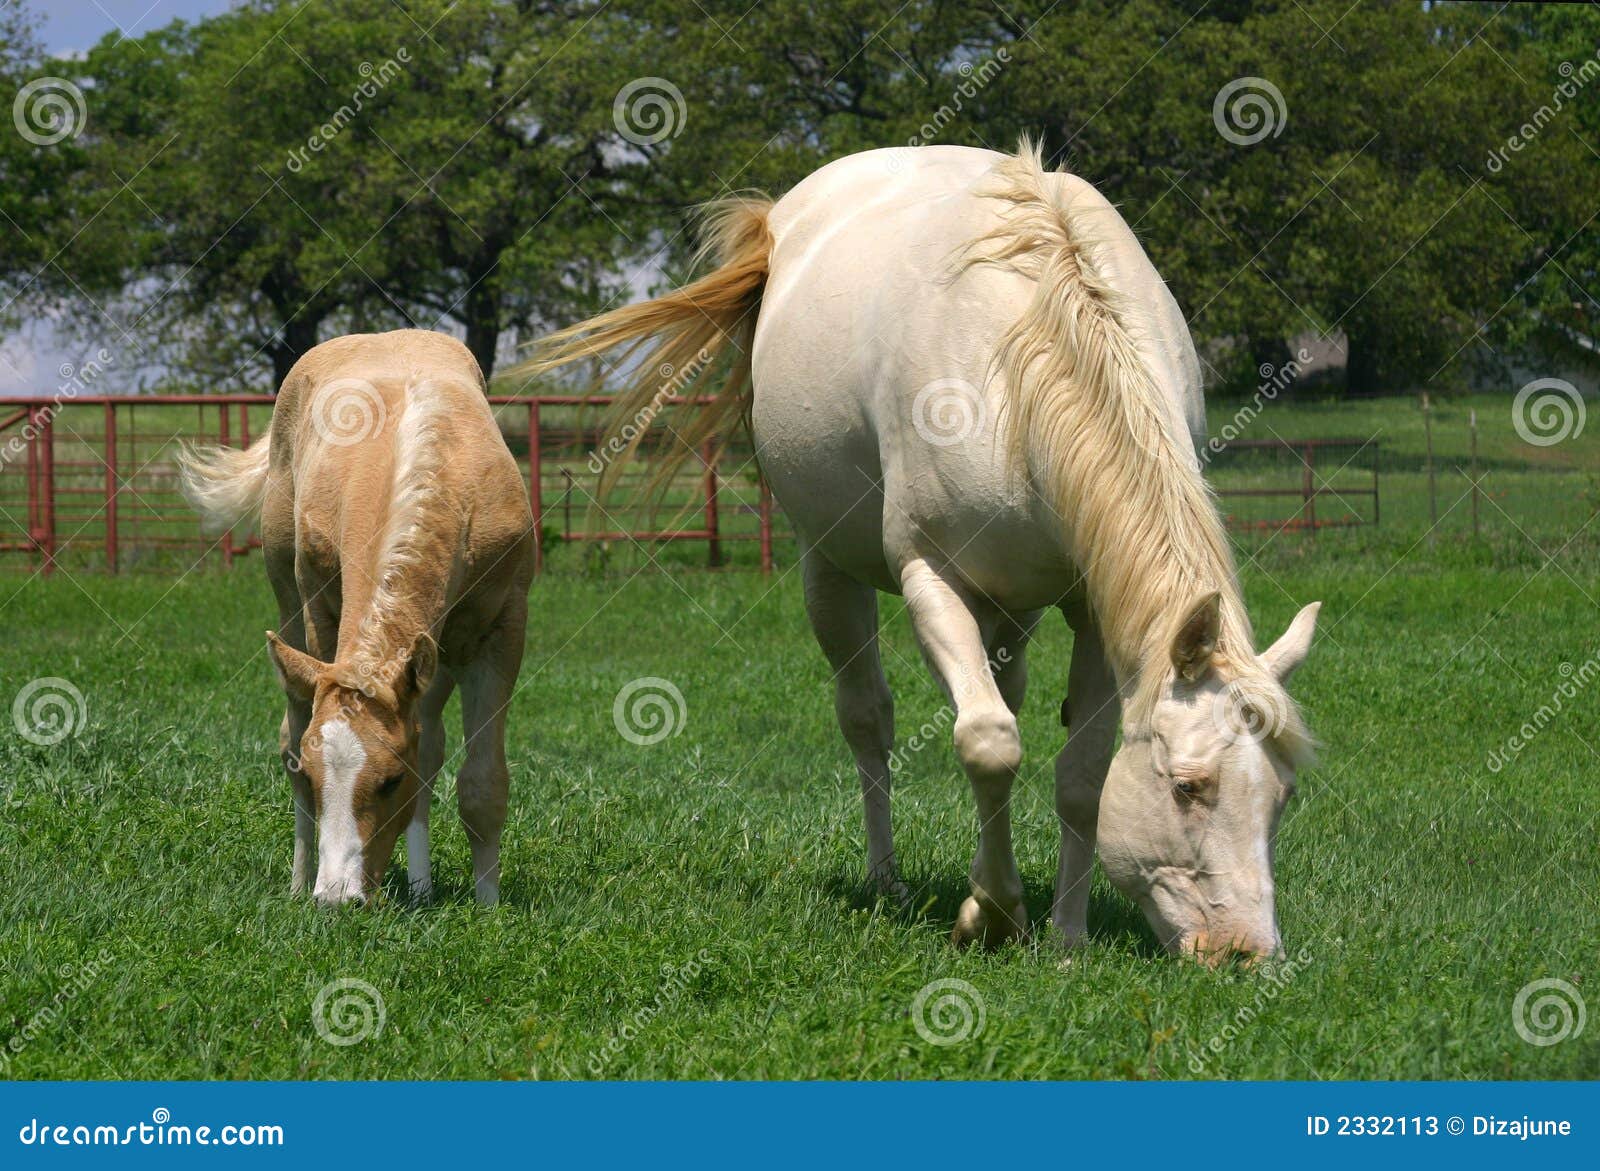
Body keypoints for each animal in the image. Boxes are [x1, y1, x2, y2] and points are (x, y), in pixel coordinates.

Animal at [181, 330, 536, 907]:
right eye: (316, 775)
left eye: (391, 780)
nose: (338, 897)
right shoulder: (322, 619)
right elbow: (301, 742)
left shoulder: (501, 632)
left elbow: (480, 783)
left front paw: (489, 909)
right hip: (289, 599)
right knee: (290, 728)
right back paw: (305, 880)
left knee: (430, 748)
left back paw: (420, 888)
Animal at [521, 143, 1321, 963]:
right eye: (1188, 786)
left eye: (1282, 796)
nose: (1247, 954)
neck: (1025, 352)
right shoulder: (931, 576)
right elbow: (988, 743)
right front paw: (992, 916)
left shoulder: (1095, 605)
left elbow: (1081, 773)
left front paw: (1065, 933)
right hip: (829, 570)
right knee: (871, 718)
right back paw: (888, 882)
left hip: (1012, 604)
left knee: (1002, 694)